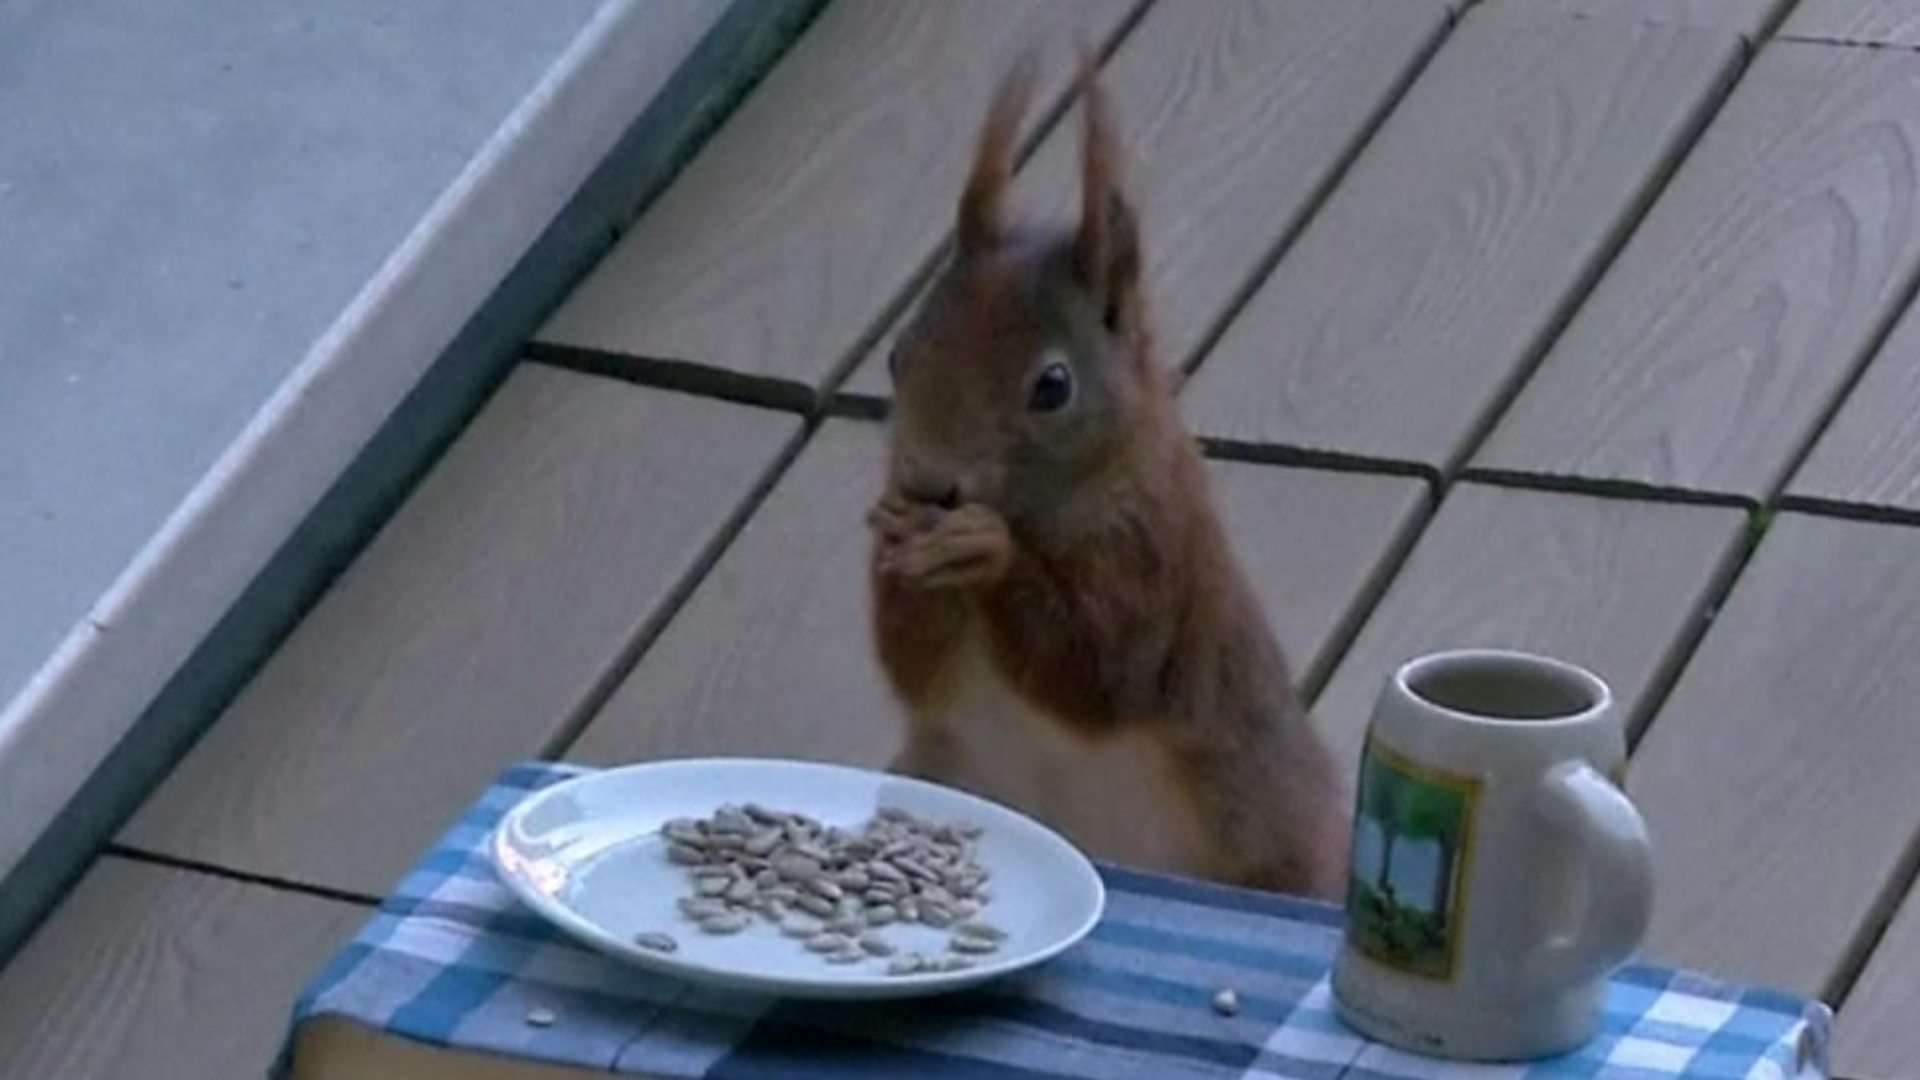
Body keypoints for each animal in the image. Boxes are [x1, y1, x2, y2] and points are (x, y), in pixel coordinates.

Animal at [866, 59, 1350, 899]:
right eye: (899, 353)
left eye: (1053, 387)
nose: (932, 485)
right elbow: (914, 666)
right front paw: (901, 542)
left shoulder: (1156, 554)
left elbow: (1098, 669)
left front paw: (986, 553)